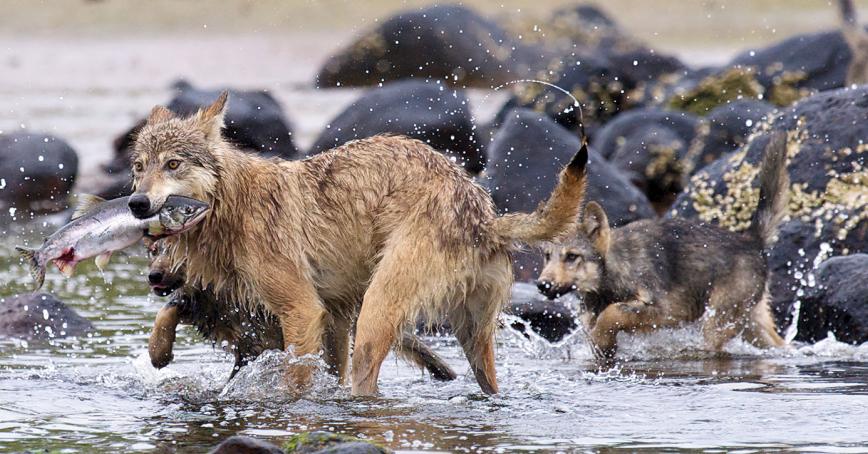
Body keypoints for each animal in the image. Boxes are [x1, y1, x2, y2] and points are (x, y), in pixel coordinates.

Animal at [128, 92, 588, 395]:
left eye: (173, 164)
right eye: (138, 167)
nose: (135, 204)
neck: (232, 204)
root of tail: (484, 216)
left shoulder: (301, 311)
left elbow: (295, 383)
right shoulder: (330, 316)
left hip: (374, 317)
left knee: (368, 387)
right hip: (471, 339)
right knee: (487, 384)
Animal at [537, 132, 789, 362]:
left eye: (572, 256)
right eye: (547, 256)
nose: (542, 285)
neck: (614, 274)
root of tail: (752, 240)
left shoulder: (668, 311)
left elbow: (613, 313)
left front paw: (603, 337)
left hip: (718, 321)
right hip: (750, 321)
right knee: (781, 344)